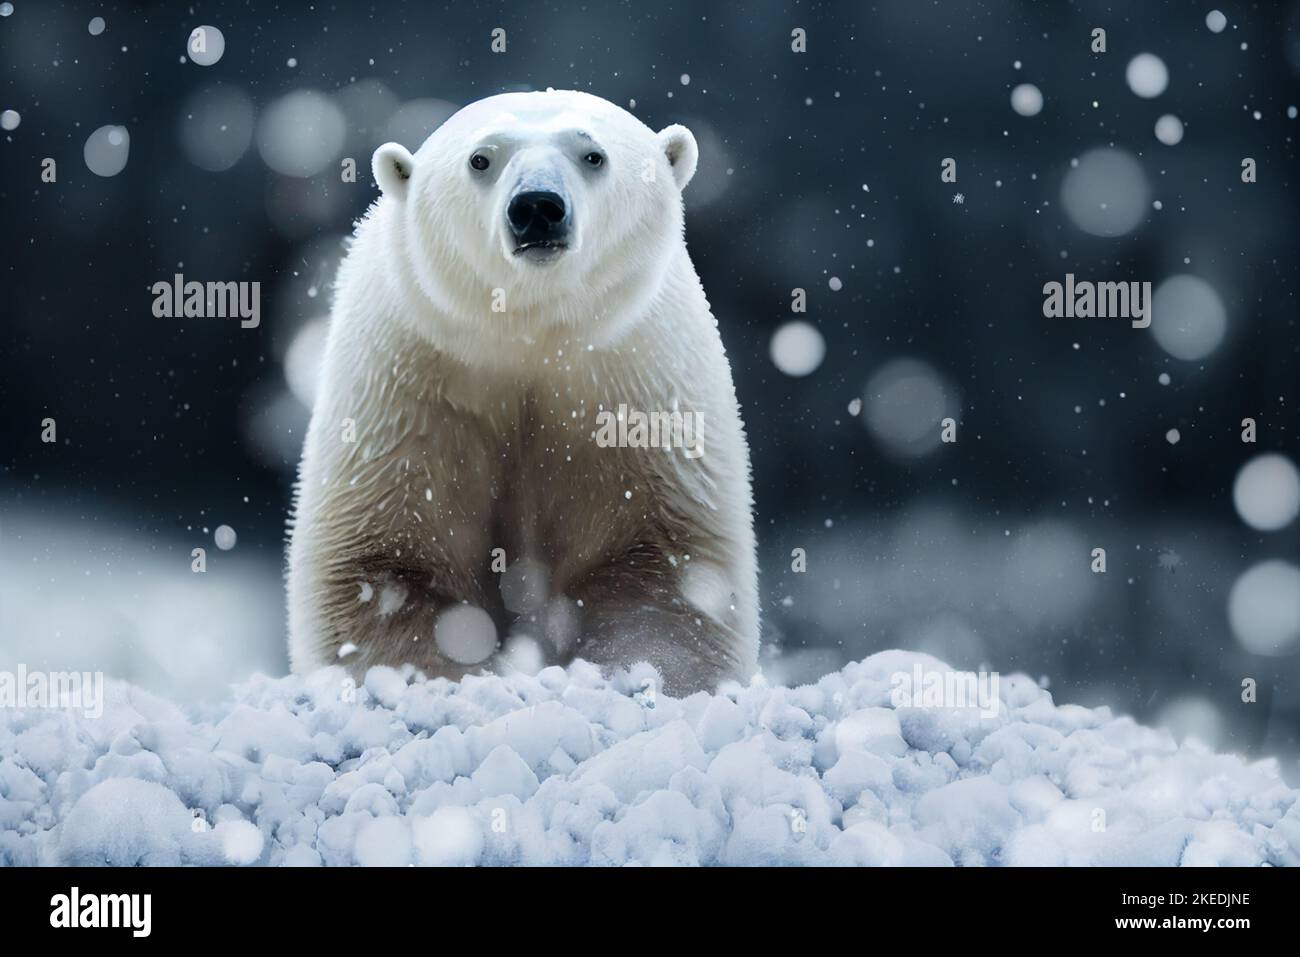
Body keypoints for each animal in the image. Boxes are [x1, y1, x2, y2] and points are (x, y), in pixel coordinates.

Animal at [286, 89, 757, 696]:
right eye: (480, 158)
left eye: (593, 154)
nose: (537, 207)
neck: (530, 335)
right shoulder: (409, 389)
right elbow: (385, 567)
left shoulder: (636, 386)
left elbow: (666, 567)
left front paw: (638, 677)